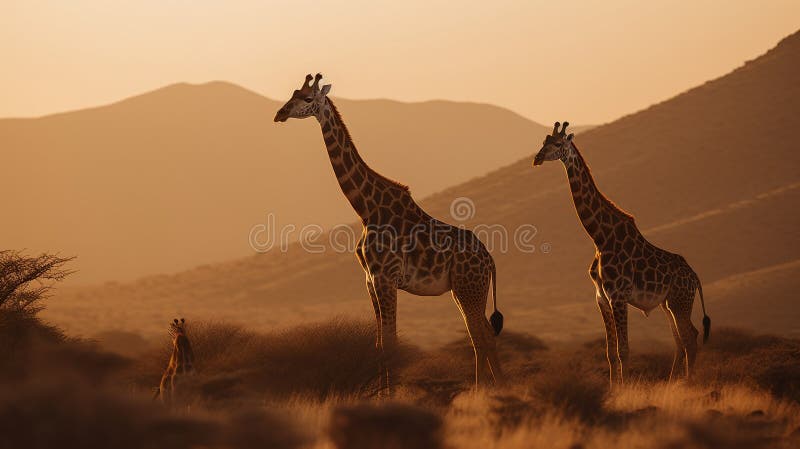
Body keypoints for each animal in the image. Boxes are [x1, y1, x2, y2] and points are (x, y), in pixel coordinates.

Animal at [274, 74, 504, 392]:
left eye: (308, 98)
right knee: (486, 335)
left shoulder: (386, 277)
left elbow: (391, 343)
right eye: (293, 93)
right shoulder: (370, 279)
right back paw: (501, 387)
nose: (280, 113)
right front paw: (382, 394)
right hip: (464, 290)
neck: (366, 208)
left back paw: (482, 391)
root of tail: (490, 260)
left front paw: (390, 395)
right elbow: (379, 344)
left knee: (479, 338)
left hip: (469, 288)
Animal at [532, 122, 710, 386]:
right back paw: (672, 384)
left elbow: (623, 350)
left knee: (690, 339)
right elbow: (609, 352)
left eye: (557, 143)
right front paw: (613, 388)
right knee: (681, 341)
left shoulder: (618, 295)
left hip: (680, 302)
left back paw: (687, 384)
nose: (537, 158)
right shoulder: (601, 298)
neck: (600, 237)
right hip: (668, 304)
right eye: (543, 141)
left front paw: (624, 389)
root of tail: (694, 276)